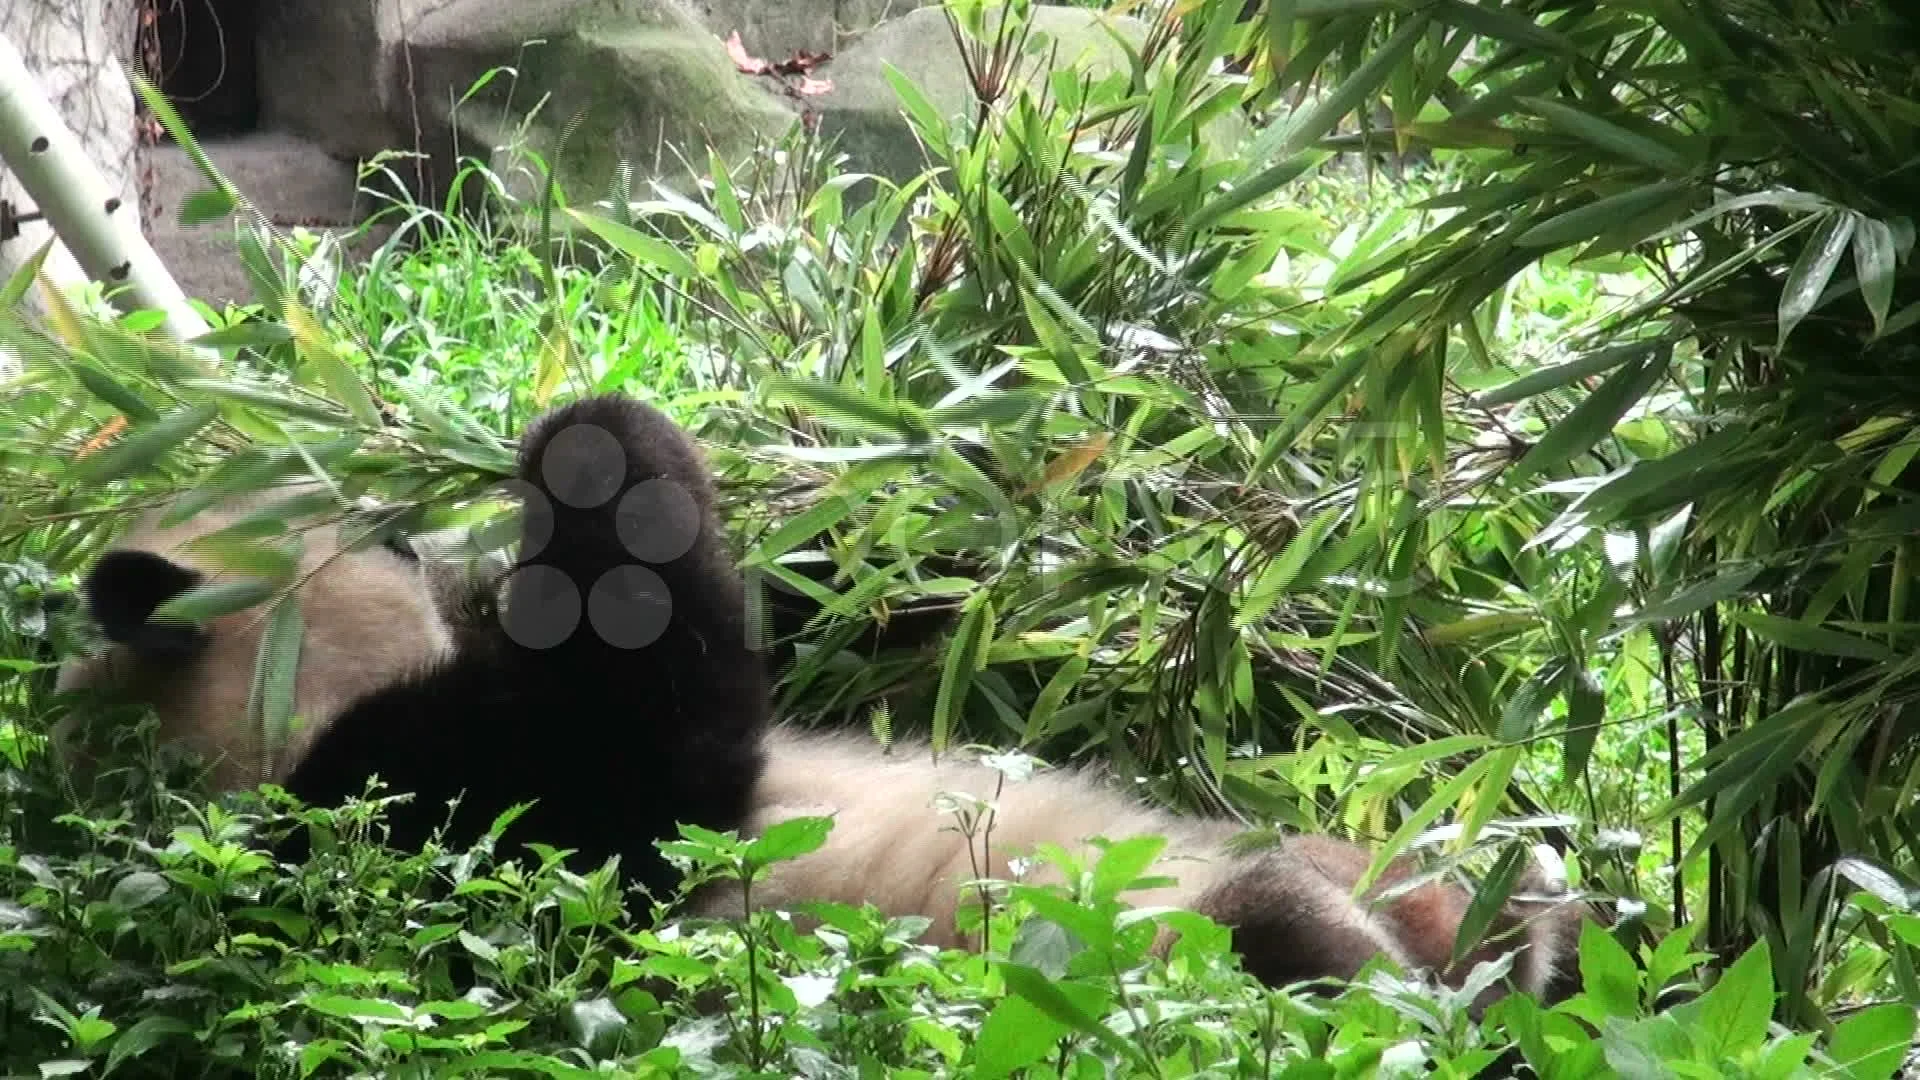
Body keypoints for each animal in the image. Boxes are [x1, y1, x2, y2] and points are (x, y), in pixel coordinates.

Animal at [53, 392, 1588, 1010]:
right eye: (371, 534)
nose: (427, 533)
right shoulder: (420, 812)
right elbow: (644, 740)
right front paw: (592, 444)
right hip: (1177, 955)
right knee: (1298, 954)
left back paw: (1527, 906)